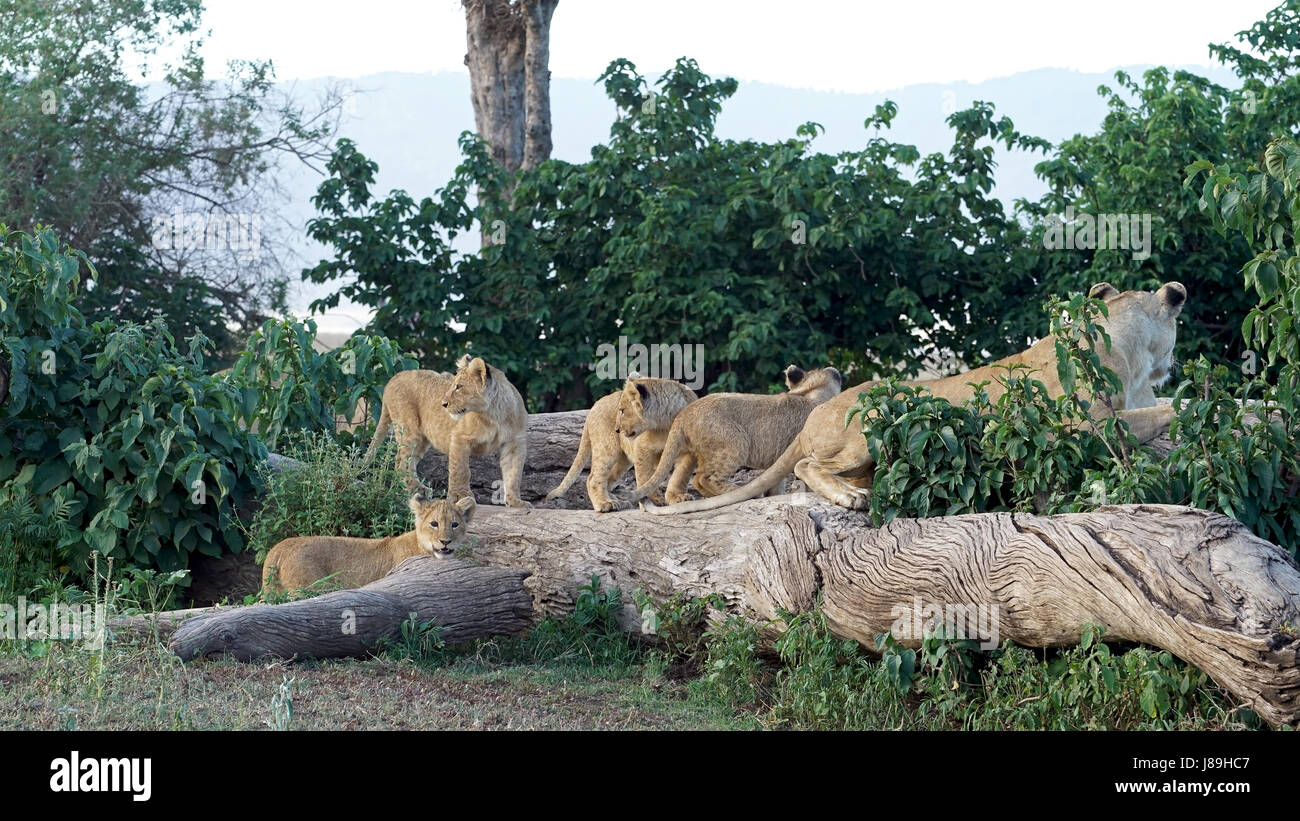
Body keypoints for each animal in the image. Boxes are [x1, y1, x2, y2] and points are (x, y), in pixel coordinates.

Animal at [363, 355, 531, 507]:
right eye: (453, 385)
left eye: (459, 387)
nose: (443, 404)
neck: (494, 415)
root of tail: (393, 378)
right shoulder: (459, 438)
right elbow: (461, 470)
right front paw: (459, 496)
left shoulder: (514, 443)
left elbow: (514, 474)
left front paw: (516, 502)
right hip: (409, 429)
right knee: (400, 462)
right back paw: (415, 490)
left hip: (421, 439)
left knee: (409, 461)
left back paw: (419, 490)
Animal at [544, 377, 698, 511]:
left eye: (622, 411)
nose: (617, 430)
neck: (666, 422)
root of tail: (595, 405)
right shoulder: (642, 449)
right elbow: (645, 477)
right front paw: (652, 500)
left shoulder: (688, 452)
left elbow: (680, 475)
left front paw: (677, 497)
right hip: (606, 450)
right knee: (593, 479)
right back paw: (605, 504)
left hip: (623, 460)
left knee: (608, 481)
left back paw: (619, 501)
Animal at [629, 365, 843, 505]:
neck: (813, 396)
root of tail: (683, 415)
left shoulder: (781, 457)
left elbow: (776, 482)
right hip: (735, 443)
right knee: (703, 478)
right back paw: (738, 493)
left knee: (691, 478)